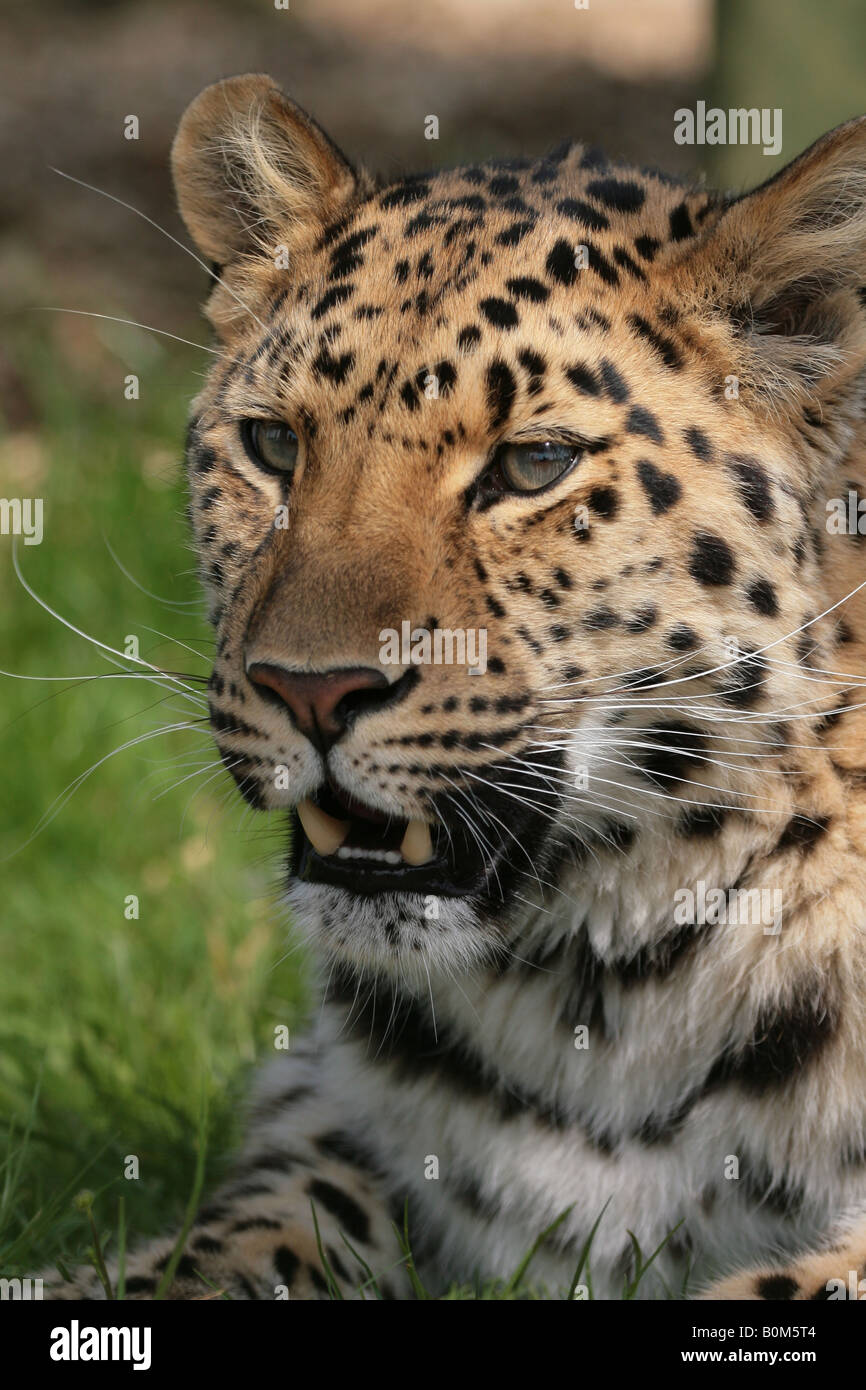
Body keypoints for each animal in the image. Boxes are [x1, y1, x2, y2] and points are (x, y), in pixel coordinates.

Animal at [41, 73, 866, 1301]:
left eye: (533, 466)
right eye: (272, 446)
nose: (312, 690)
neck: (598, 996)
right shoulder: (329, 1115)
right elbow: (229, 1238)